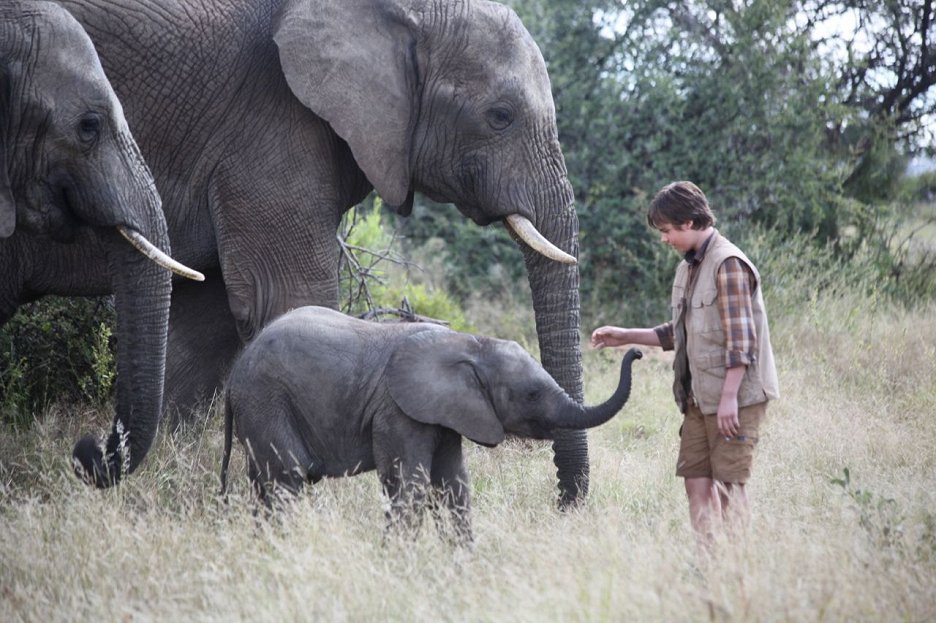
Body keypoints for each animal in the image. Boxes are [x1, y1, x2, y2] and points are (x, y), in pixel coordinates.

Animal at [58, 0, 590, 505]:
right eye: (499, 116)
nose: (565, 502)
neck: (404, 12)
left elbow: (204, 329)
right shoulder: (269, 124)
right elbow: (290, 300)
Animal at [220, 306, 643, 542]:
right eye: (532, 395)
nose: (636, 352)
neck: (471, 345)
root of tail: (234, 374)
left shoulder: (447, 413)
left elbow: (453, 485)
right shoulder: (398, 411)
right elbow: (410, 485)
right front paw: (396, 569)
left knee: (264, 485)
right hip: (267, 400)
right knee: (286, 480)